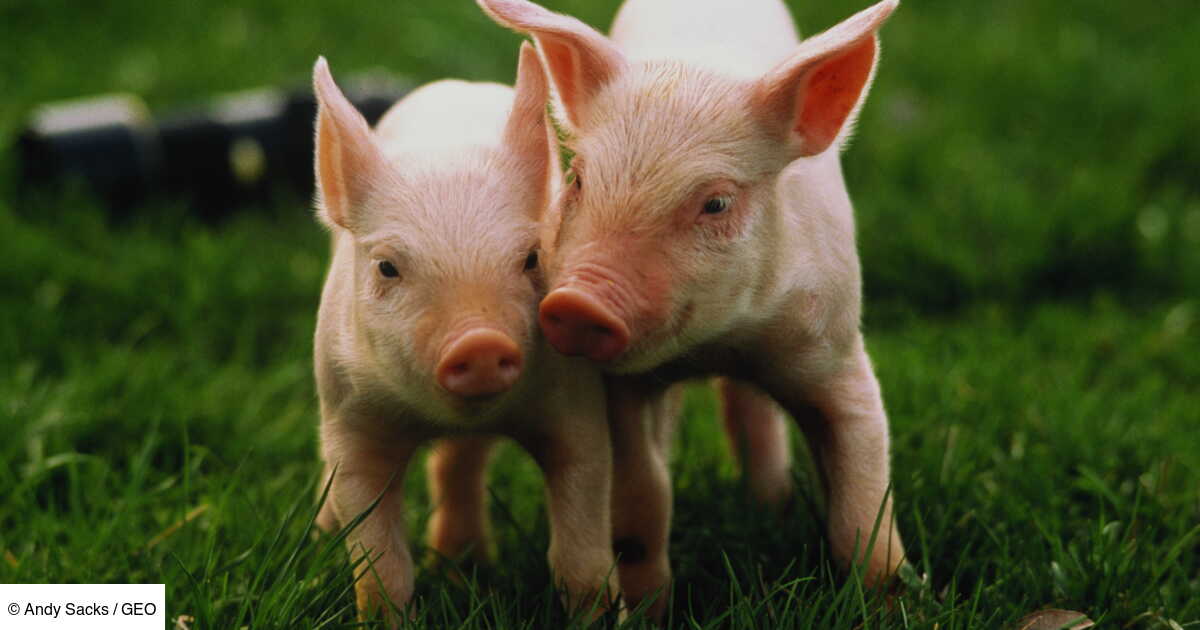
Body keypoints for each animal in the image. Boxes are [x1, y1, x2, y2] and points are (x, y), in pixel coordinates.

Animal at [310, 44, 621, 623]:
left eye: (531, 258)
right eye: (387, 267)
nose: (479, 342)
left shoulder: (574, 403)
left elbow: (582, 551)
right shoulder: (350, 415)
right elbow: (379, 562)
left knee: (460, 462)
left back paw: (464, 565)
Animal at [476, 0, 909, 614]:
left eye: (717, 203)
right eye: (579, 179)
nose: (577, 301)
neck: (718, 342)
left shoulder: (836, 349)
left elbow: (863, 509)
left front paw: (889, 603)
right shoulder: (622, 386)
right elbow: (643, 492)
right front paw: (650, 609)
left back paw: (771, 505)